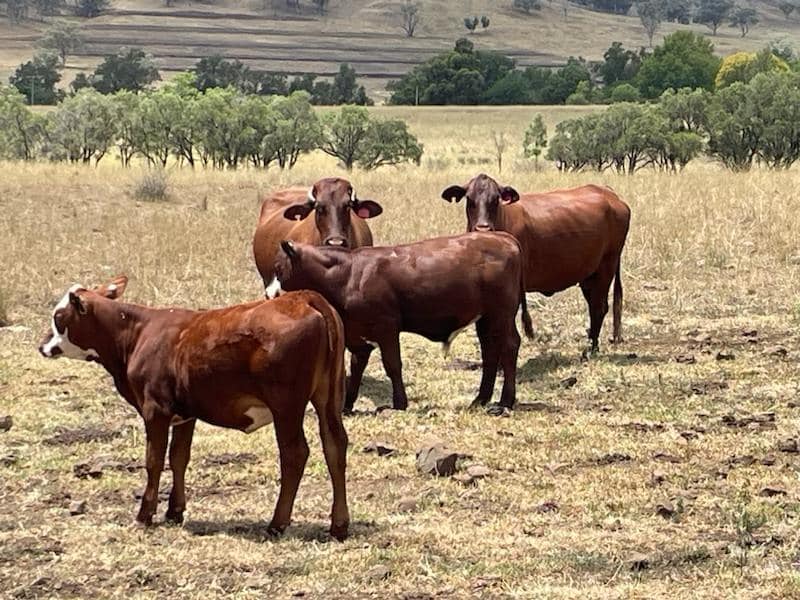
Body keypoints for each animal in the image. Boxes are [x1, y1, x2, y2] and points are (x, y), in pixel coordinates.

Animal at [38, 276, 350, 541]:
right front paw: (174, 511)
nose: (42, 347)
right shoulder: (185, 415)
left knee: (294, 454)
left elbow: (154, 460)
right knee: (335, 445)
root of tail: (303, 297)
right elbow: (179, 457)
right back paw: (338, 525)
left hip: (286, 405)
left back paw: (277, 523)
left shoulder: (156, 410)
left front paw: (144, 515)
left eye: (58, 317)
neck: (136, 333)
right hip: (329, 398)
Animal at [271, 232, 534, 416]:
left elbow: (392, 365)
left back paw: (505, 401)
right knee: (490, 352)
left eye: (278, 267)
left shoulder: (387, 327)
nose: (269, 294)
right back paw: (480, 399)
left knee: (509, 346)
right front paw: (346, 405)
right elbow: (355, 369)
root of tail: (502, 237)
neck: (348, 275)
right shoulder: (358, 334)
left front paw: (399, 403)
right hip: (486, 318)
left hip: (501, 313)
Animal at [441, 174, 631, 354]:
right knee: (594, 305)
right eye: (469, 199)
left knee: (599, 308)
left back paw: (590, 350)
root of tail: (608, 193)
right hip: (589, 275)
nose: (483, 228)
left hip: (606, 266)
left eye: (496, 199)